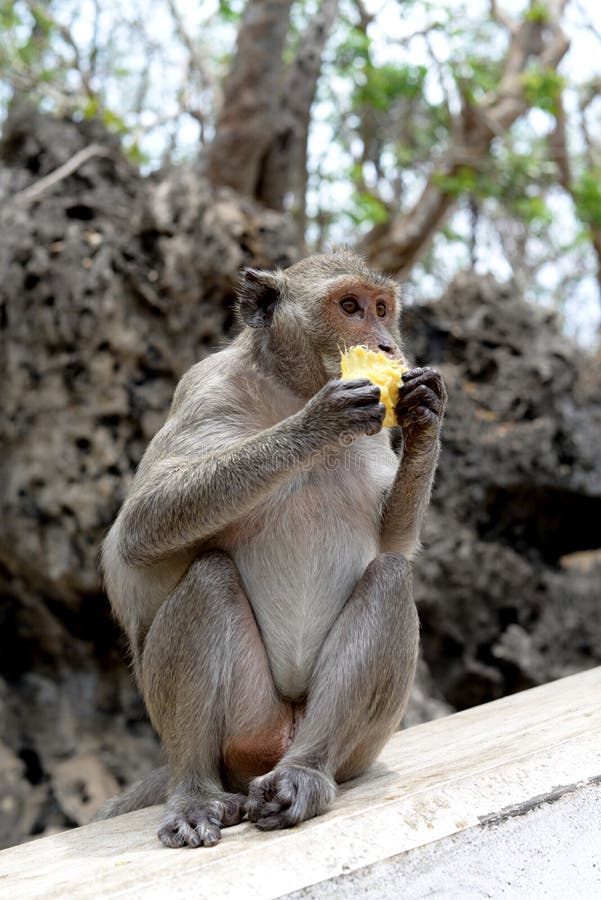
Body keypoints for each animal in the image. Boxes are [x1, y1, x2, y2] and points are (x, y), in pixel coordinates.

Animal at [100, 248, 447, 848]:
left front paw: (425, 413)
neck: (291, 388)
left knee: (389, 575)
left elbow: (394, 540)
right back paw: (194, 793)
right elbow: (141, 526)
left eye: (382, 309)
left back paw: (303, 775)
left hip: (357, 747)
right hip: (245, 726)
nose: (385, 346)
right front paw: (316, 423)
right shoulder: (204, 389)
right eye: (350, 307)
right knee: (209, 578)